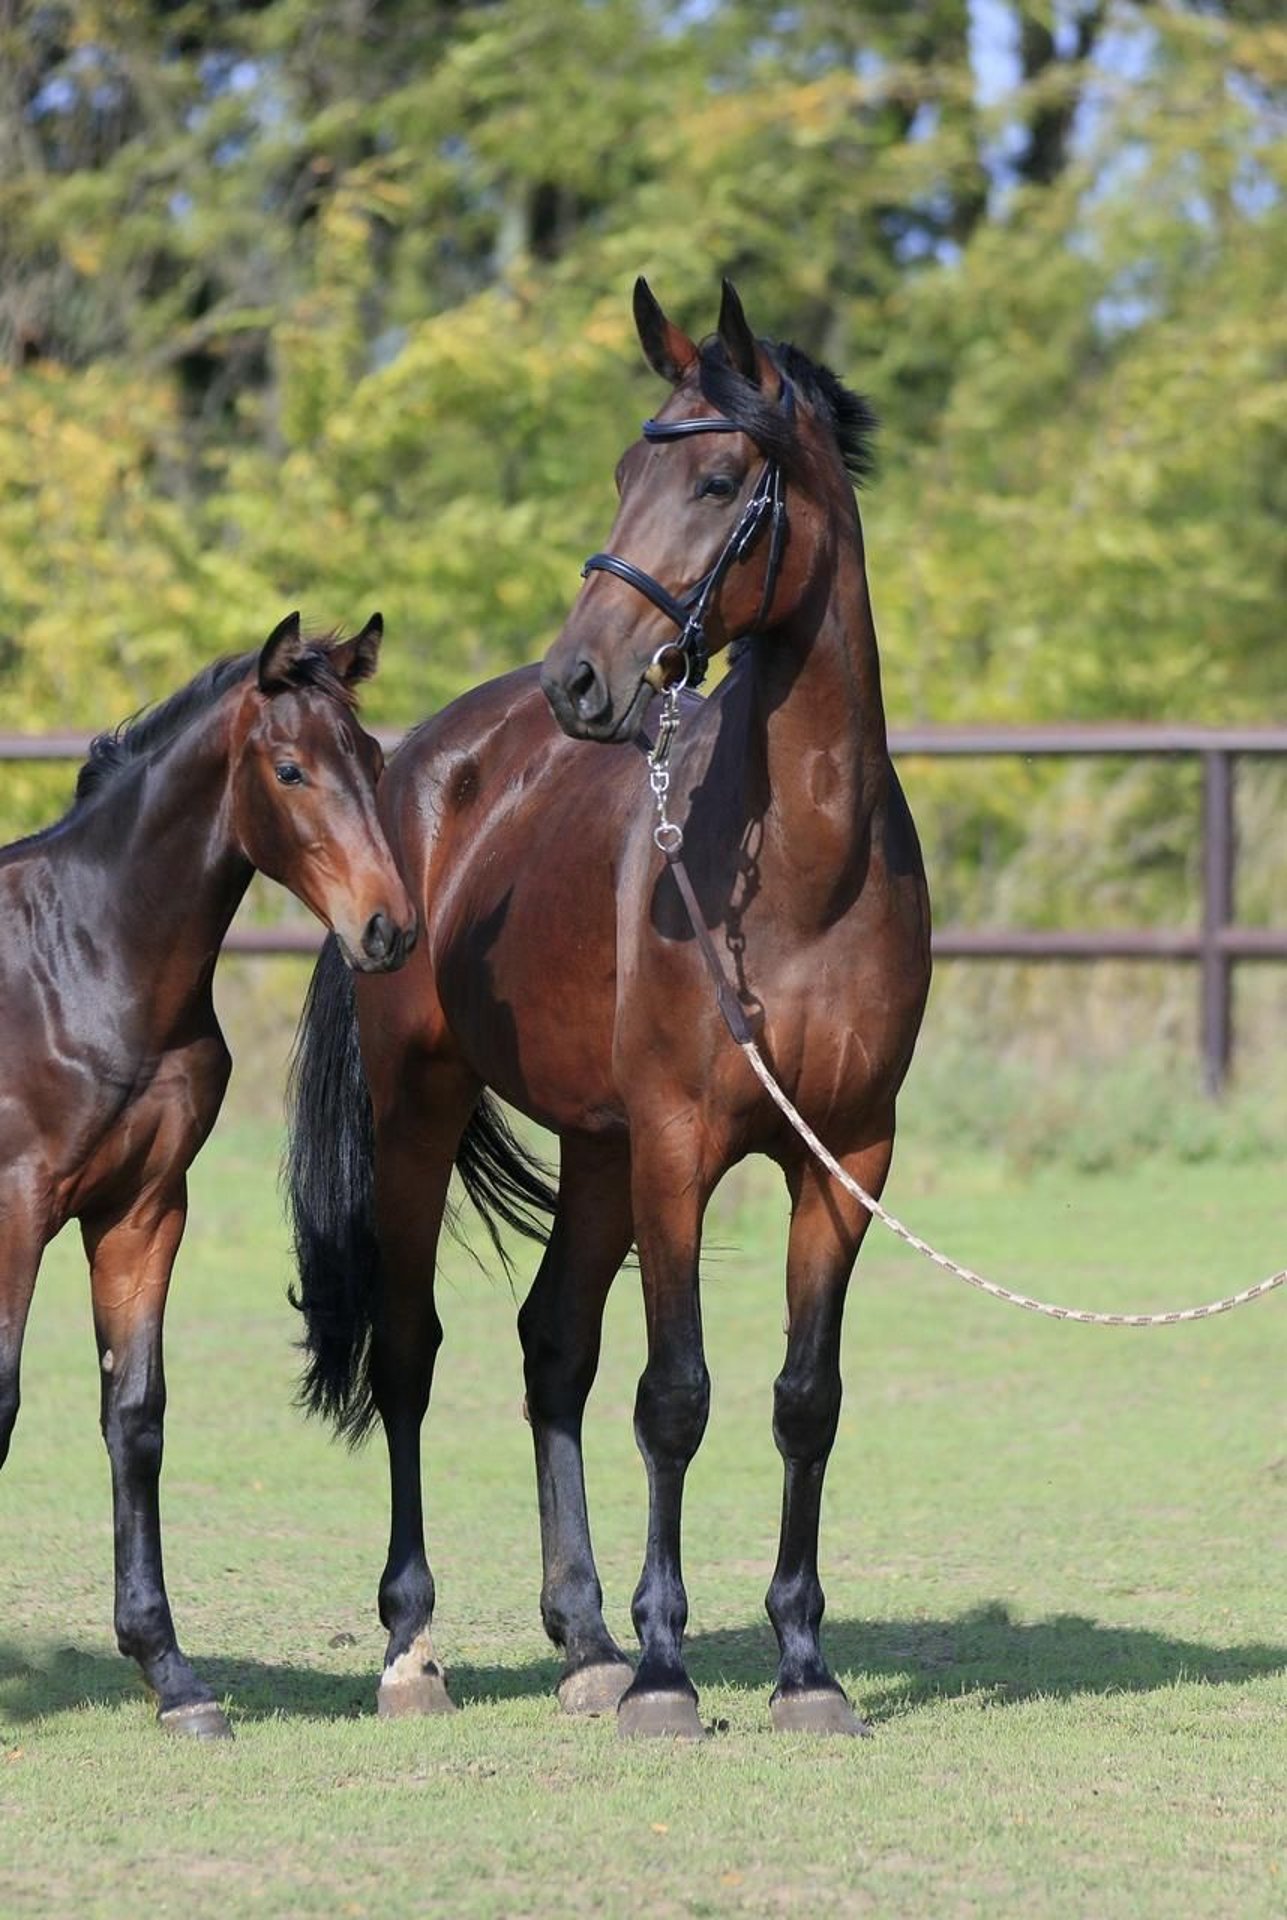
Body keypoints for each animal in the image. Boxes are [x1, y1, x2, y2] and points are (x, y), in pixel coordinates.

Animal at [0, 612, 416, 1739]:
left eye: (371, 760)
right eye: (290, 768)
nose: (387, 928)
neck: (83, 962)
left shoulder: (143, 1209)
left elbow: (135, 1416)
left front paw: (172, 1676)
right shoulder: (15, 1208)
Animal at [287, 281, 931, 1738]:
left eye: (716, 480)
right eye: (624, 476)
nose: (577, 677)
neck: (801, 870)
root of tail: (409, 769)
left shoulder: (845, 1159)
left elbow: (803, 1400)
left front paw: (802, 1667)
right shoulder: (682, 1149)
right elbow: (675, 1396)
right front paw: (667, 1670)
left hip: (594, 1148)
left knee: (550, 1347)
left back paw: (580, 1642)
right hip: (428, 1116)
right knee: (412, 1352)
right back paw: (416, 1648)